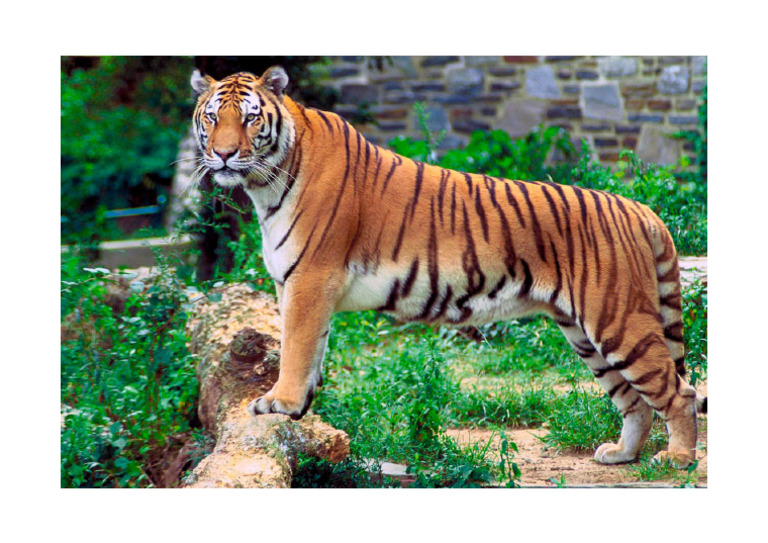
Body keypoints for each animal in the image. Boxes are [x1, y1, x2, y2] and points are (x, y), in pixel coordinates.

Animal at [190, 66, 706, 467]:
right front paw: (301, 410)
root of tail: (639, 208)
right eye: (212, 117)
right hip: (585, 334)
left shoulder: (310, 279)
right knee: (635, 401)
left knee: (679, 392)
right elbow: (311, 349)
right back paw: (622, 455)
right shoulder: (296, 285)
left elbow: (296, 347)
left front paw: (280, 403)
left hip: (619, 321)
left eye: (250, 118)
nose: (224, 154)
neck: (266, 184)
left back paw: (676, 459)